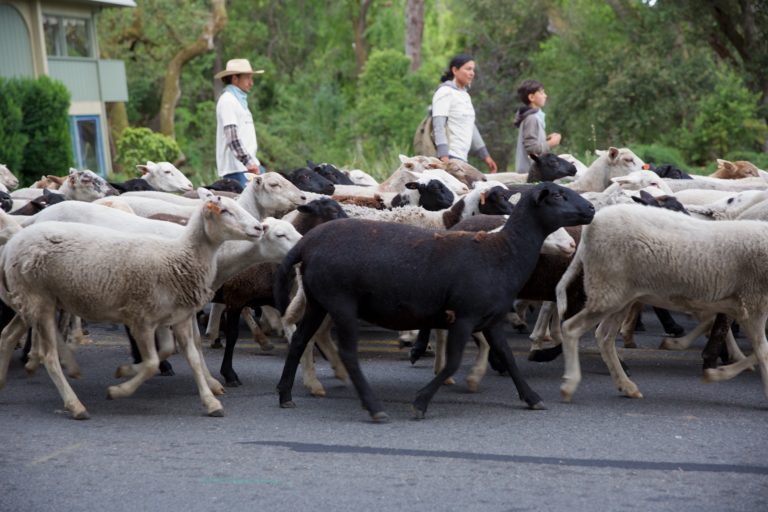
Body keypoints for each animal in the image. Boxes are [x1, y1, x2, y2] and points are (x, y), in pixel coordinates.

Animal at [0, 190, 264, 419]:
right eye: (224, 210)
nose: (259, 228)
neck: (179, 255)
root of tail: (13, 243)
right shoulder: (141, 319)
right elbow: (151, 363)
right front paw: (118, 389)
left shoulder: (175, 318)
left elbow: (192, 358)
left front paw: (211, 402)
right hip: (37, 299)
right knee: (48, 355)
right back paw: (75, 404)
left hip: (40, 299)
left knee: (9, 335)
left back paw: (11, 380)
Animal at [273, 182, 595, 421]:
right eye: (557, 195)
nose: (591, 208)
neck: (505, 251)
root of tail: (307, 243)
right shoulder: (465, 316)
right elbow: (452, 364)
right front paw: (421, 402)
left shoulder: (489, 318)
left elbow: (507, 356)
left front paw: (531, 398)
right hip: (341, 302)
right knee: (348, 353)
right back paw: (374, 407)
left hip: (318, 300)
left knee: (300, 340)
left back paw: (285, 395)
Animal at [555, 203, 768, 403]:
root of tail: (592, 226)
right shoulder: (753, 306)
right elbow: (763, 351)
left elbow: (761, 351)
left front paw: (716, 372)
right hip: (607, 290)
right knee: (571, 328)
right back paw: (569, 385)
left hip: (621, 297)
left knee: (604, 337)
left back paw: (626, 386)